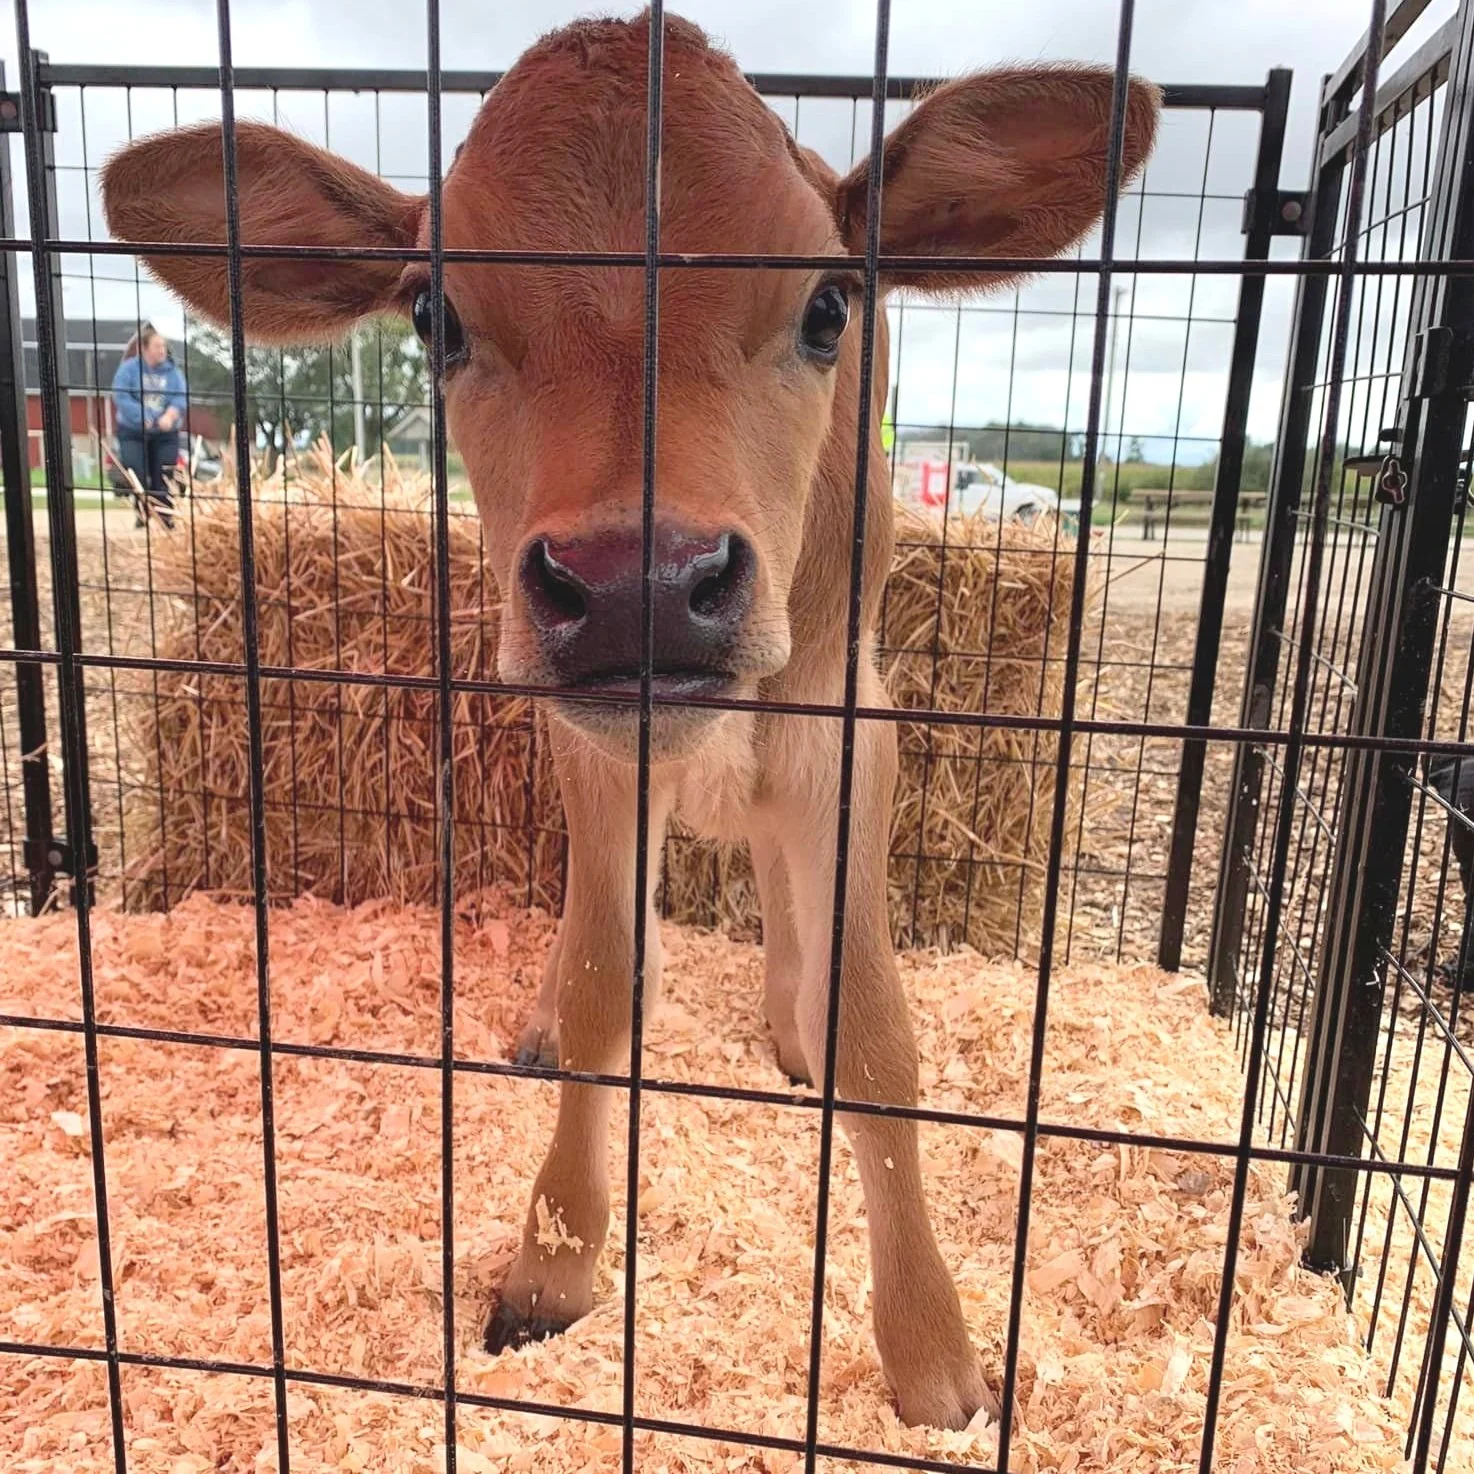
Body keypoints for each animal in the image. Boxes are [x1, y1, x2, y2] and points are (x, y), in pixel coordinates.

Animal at [101, 10, 1158, 1428]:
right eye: (435, 314)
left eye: (829, 305)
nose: (636, 585)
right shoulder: (590, 735)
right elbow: (612, 977)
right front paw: (551, 1267)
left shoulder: (847, 720)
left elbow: (874, 1025)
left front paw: (934, 1360)